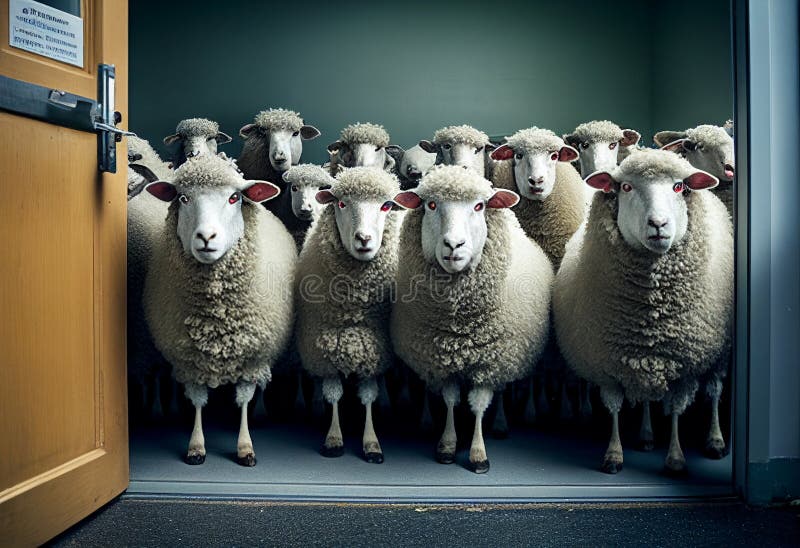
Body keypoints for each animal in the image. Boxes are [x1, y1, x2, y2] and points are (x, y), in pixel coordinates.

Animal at [142, 154, 297, 466]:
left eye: (234, 197)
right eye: (183, 198)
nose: (206, 237)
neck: (216, 318)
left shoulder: (252, 356)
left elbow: (244, 399)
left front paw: (245, 447)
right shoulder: (190, 359)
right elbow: (198, 401)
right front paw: (196, 446)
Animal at [295, 167, 402, 463]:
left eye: (386, 205)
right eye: (342, 204)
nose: (363, 239)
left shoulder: (373, 347)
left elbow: (368, 396)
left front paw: (371, 442)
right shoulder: (324, 345)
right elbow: (333, 394)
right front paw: (333, 439)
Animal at [391, 165, 553, 473]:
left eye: (479, 206)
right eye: (431, 205)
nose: (454, 245)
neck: (460, 327)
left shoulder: (489, 361)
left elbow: (478, 405)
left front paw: (478, 454)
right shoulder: (443, 358)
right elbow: (450, 400)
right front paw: (447, 445)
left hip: (508, 356)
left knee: (500, 390)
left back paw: (500, 424)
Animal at [552, 149, 733, 474]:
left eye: (678, 186)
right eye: (625, 187)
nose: (658, 224)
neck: (651, 316)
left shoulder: (684, 366)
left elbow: (676, 409)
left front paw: (675, 458)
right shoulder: (609, 364)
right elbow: (614, 407)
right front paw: (614, 455)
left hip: (719, 353)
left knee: (714, 390)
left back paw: (715, 440)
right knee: (648, 395)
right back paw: (646, 435)